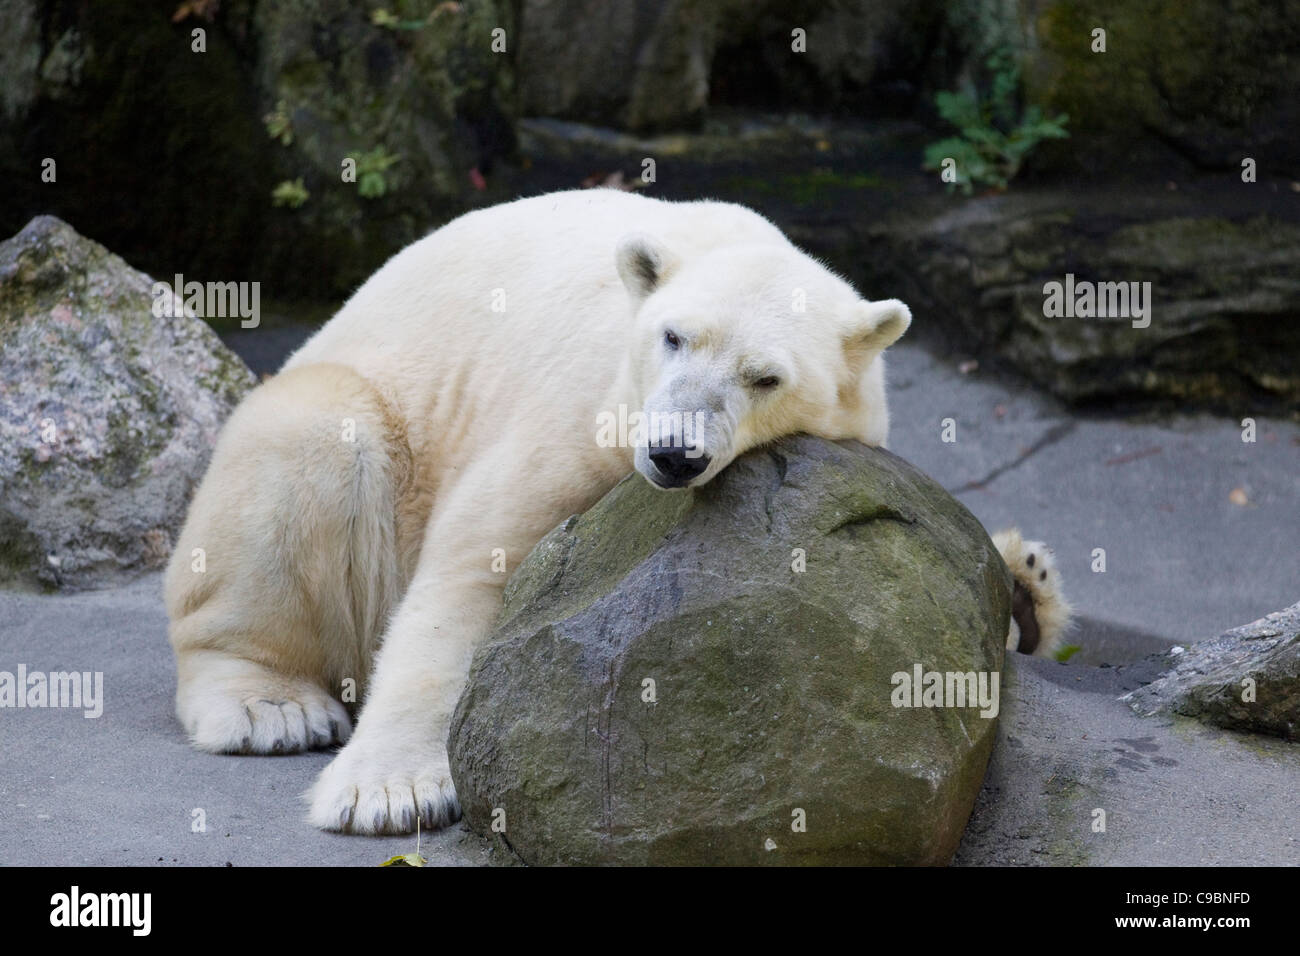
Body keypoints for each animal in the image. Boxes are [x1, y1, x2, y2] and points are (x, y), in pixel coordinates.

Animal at [164, 188, 1066, 836]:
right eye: (673, 337)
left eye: (765, 377)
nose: (674, 454)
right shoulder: (583, 409)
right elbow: (469, 572)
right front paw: (388, 792)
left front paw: (1019, 588)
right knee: (311, 453)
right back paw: (271, 707)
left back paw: (1029, 589)